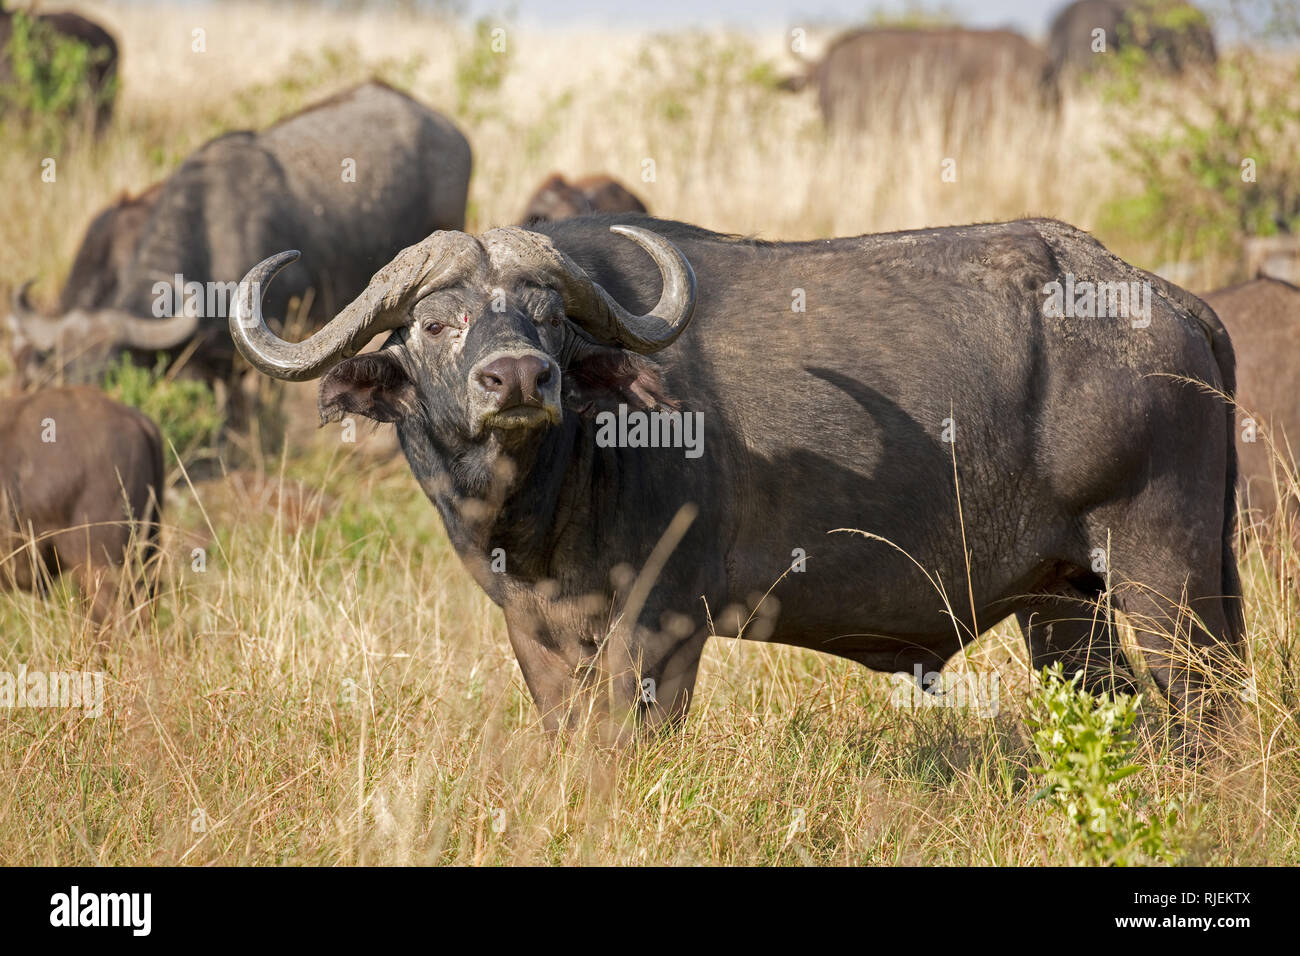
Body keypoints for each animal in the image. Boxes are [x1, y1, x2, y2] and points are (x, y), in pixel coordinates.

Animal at [229, 215, 1243, 740]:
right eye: (435, 324)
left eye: (550, 317)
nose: (517, 377)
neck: (554, 499)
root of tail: (1172, 303)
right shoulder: (536, 635)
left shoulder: (664, 629)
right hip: (1066, 605)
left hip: (1167, 580)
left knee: (1209, 705)